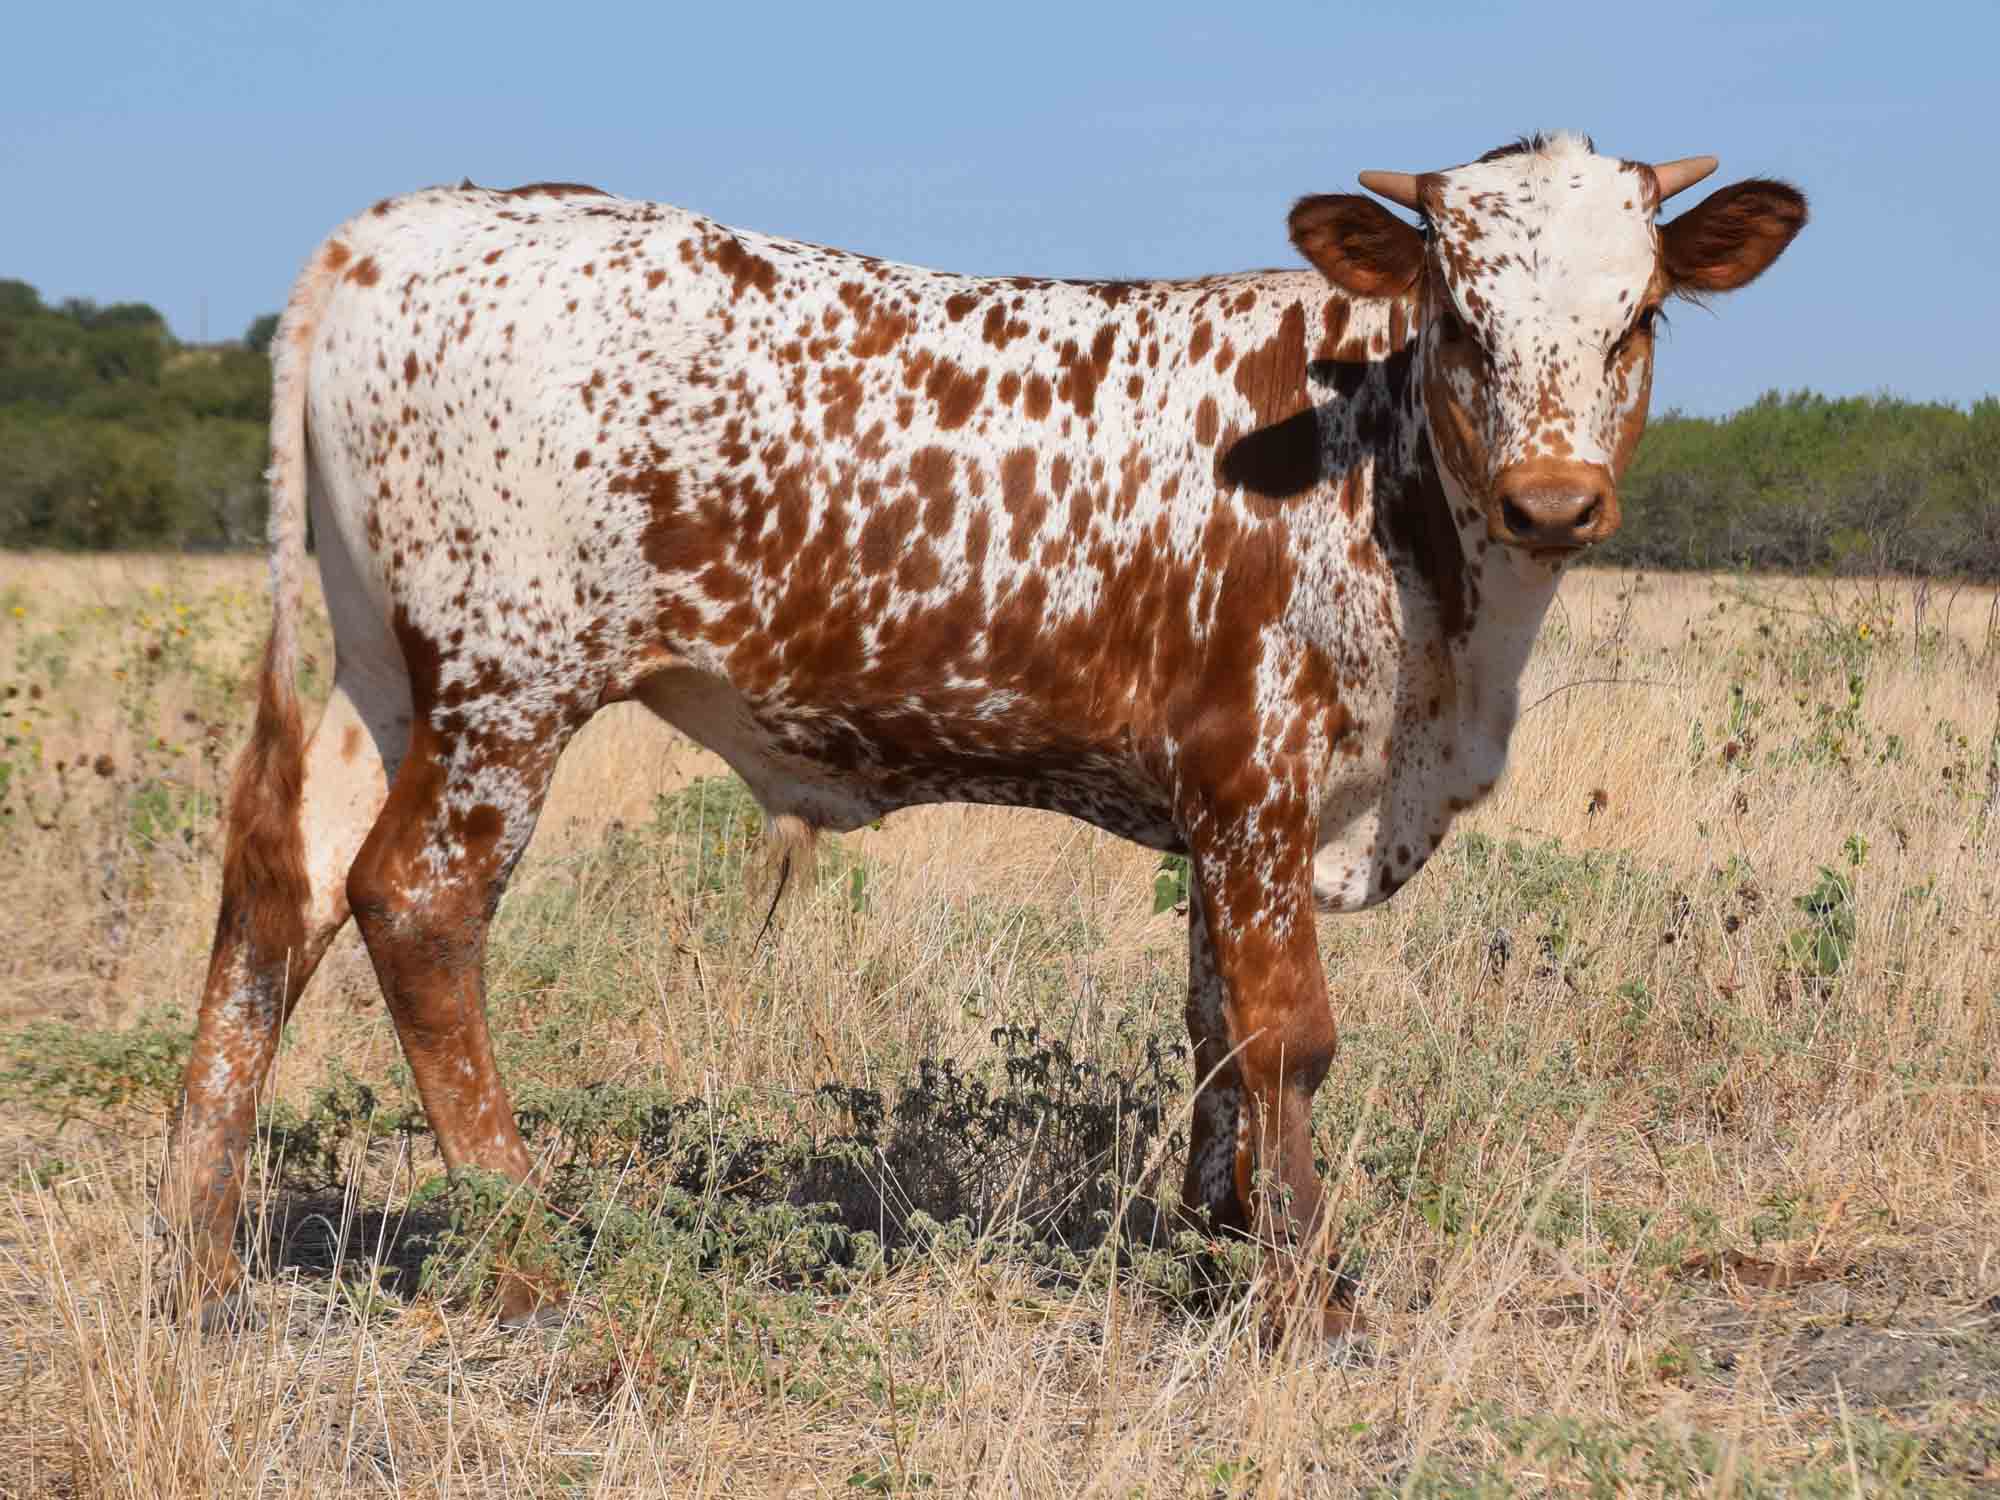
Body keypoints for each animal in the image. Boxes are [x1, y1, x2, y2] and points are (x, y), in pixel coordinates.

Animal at [160, 132, 1804, 1333]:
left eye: (1636, 316)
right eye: (1462, 316)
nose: (1554, 501)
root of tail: (404, 225)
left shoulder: (1224, 815)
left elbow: (1210, 1027)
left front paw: (1211, 1246)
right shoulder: (1259, 780)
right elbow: (1286, 1038)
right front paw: (1304, 1297)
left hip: (387, 676)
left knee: (278, 892)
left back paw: (203, 1261)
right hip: (509, 679)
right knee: (416, 908)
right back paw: (528, 1256)